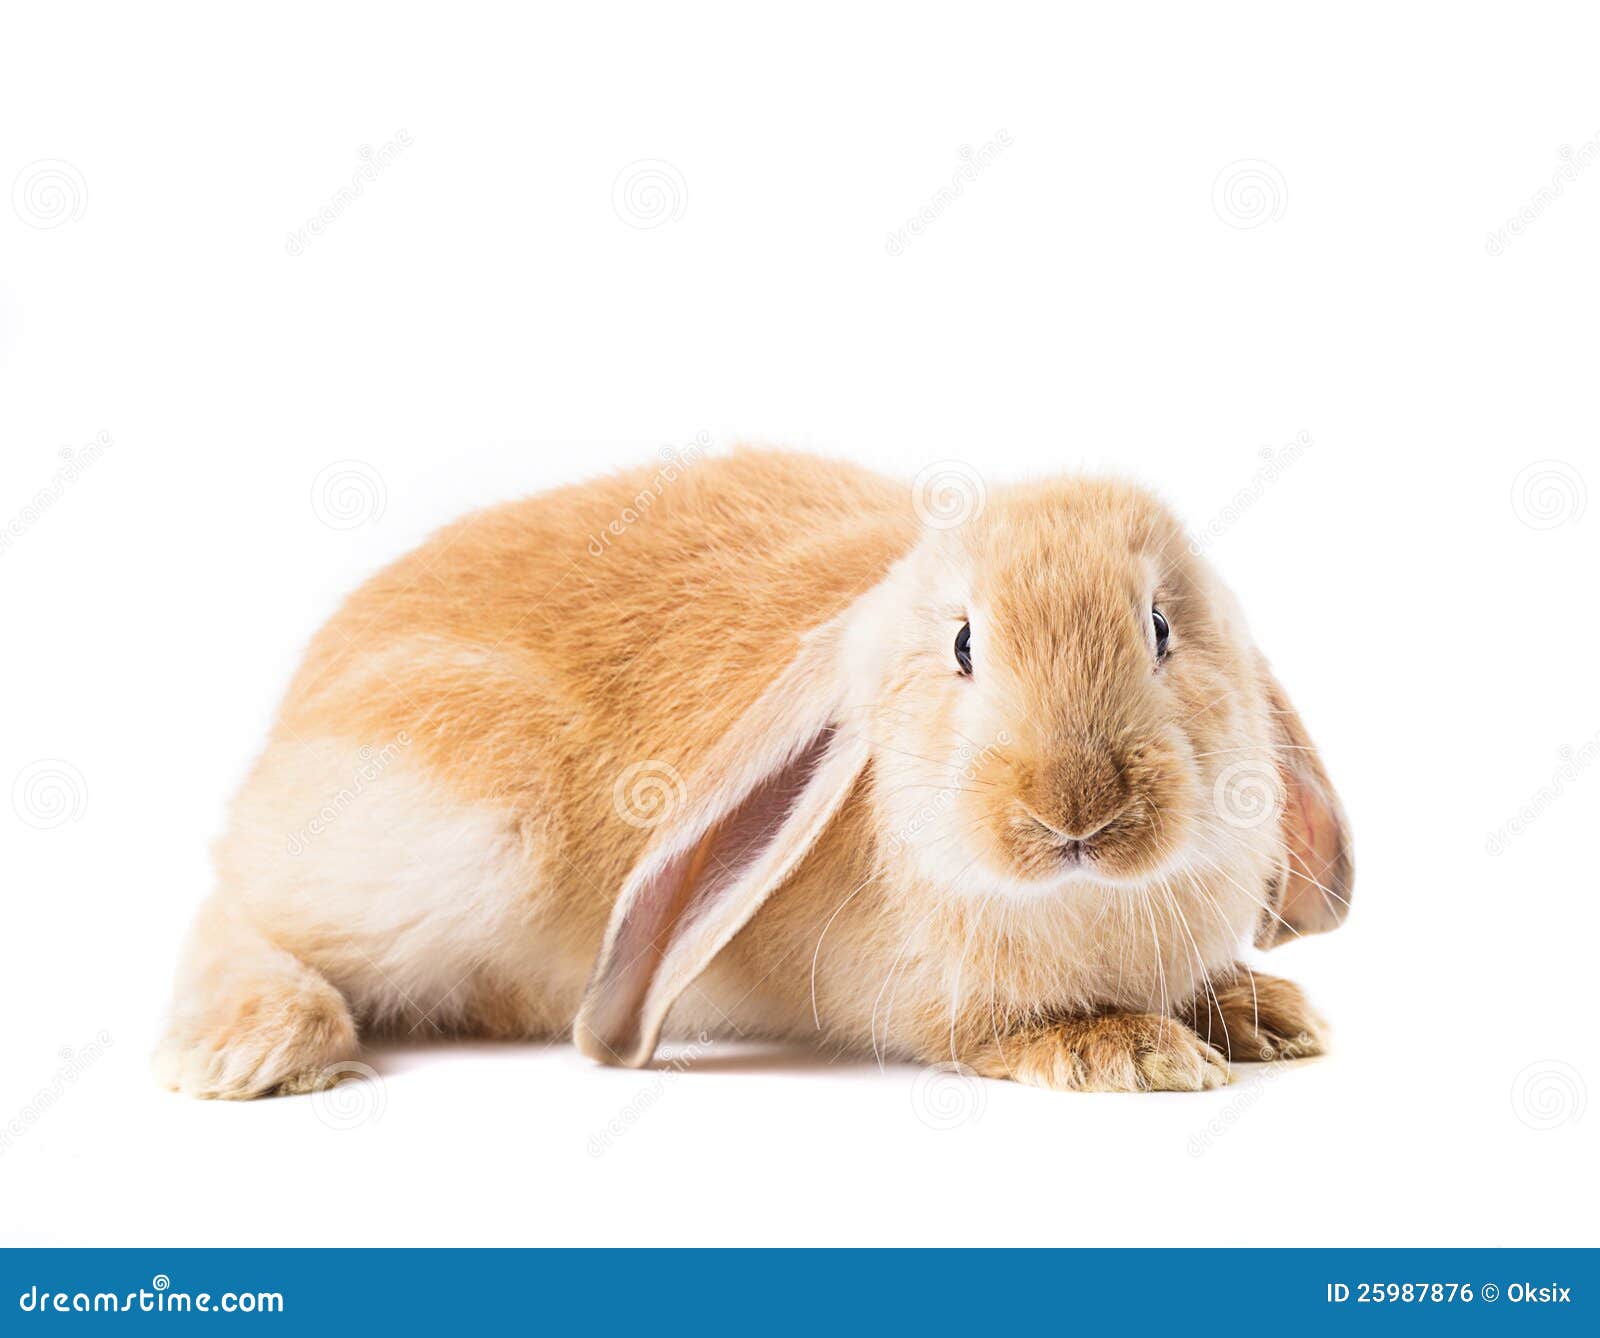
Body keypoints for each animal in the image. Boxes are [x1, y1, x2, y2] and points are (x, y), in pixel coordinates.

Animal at [155, 446, 1351, 1098]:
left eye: (1161, 628)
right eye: (965, 645)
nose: (1075, 810)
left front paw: (1265, 1017)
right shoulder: (928, 1006)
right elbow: (990, 1033)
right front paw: (1135, 1054)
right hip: (459, 829)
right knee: (235, 908)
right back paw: (257, 1050)